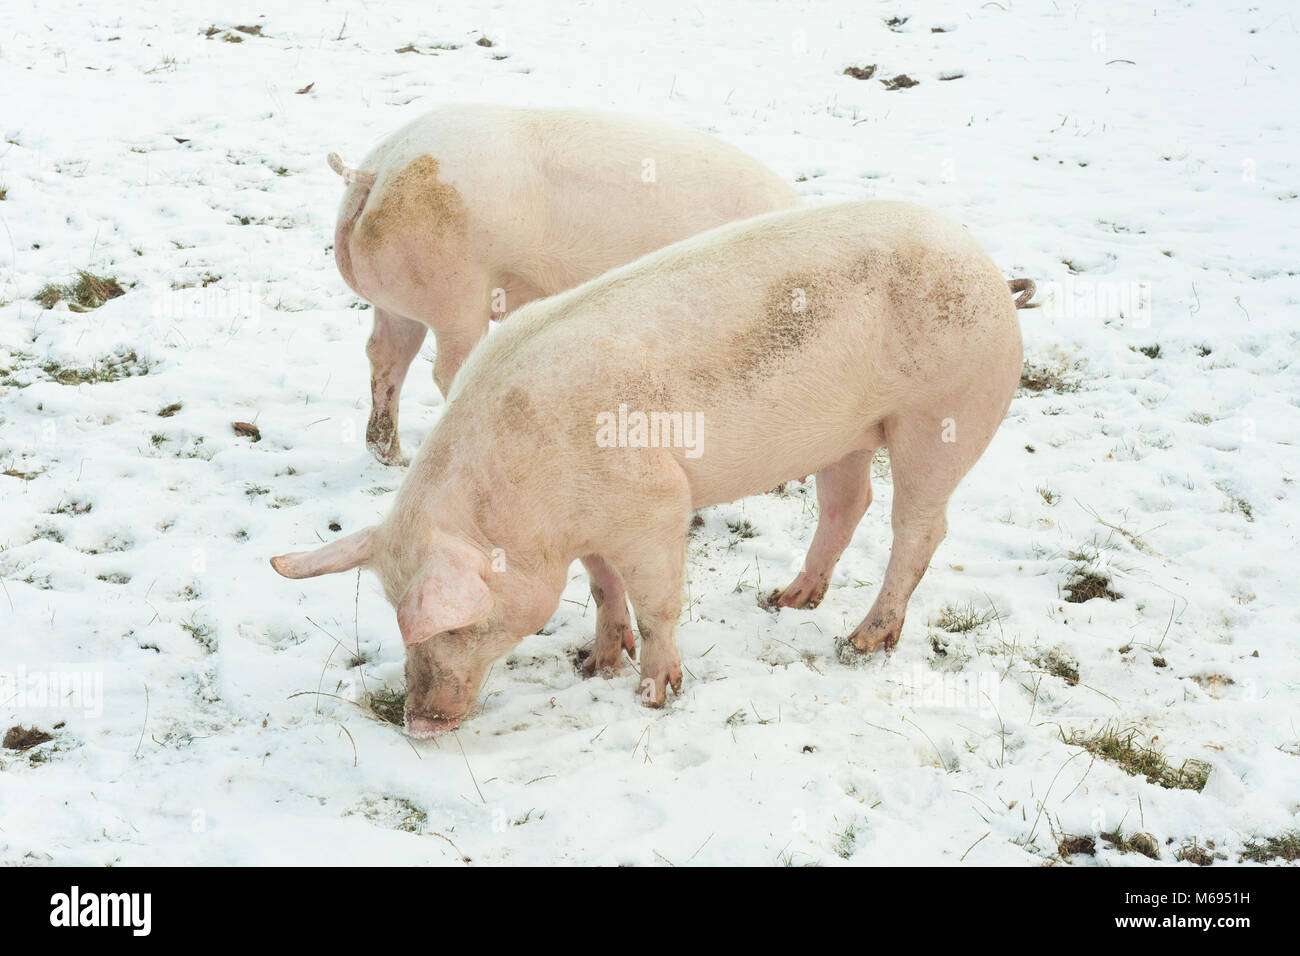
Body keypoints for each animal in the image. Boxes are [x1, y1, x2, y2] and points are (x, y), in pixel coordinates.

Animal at [272, 200, 1033, 738]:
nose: (420, 724)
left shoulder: (656, 504)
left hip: (941, 415)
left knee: (920, 528)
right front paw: (595, 663)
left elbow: (659, 599)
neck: (528, 508)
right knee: (850, 502)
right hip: (847, 435)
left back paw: (860, 643)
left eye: (455, 626)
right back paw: (786, 601)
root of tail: (990, 267)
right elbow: (603, 588)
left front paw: (656, 694)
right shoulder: (592, 526)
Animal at [328, 104, 801, 466]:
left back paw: (391, 457)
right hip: (457, 293)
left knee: (384, 357)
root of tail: (376, 171)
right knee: (445, 369)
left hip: (397, 302)